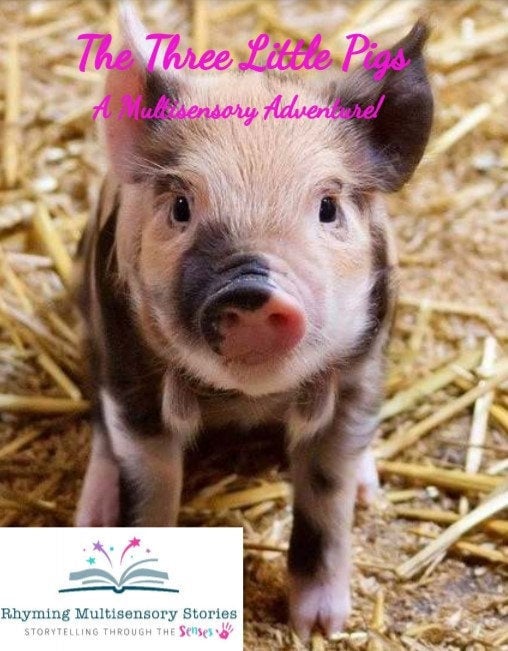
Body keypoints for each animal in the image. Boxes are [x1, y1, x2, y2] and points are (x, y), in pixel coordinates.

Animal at [75, 7, 433, 641]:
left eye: (328, 208)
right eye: (181, 206)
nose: (251, 288)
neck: (246, 400)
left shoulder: (359, 373)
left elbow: (327, 495)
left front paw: (320, 629)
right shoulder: (129, 372)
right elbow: (150, 488)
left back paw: (371, 492)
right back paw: (89, 515)